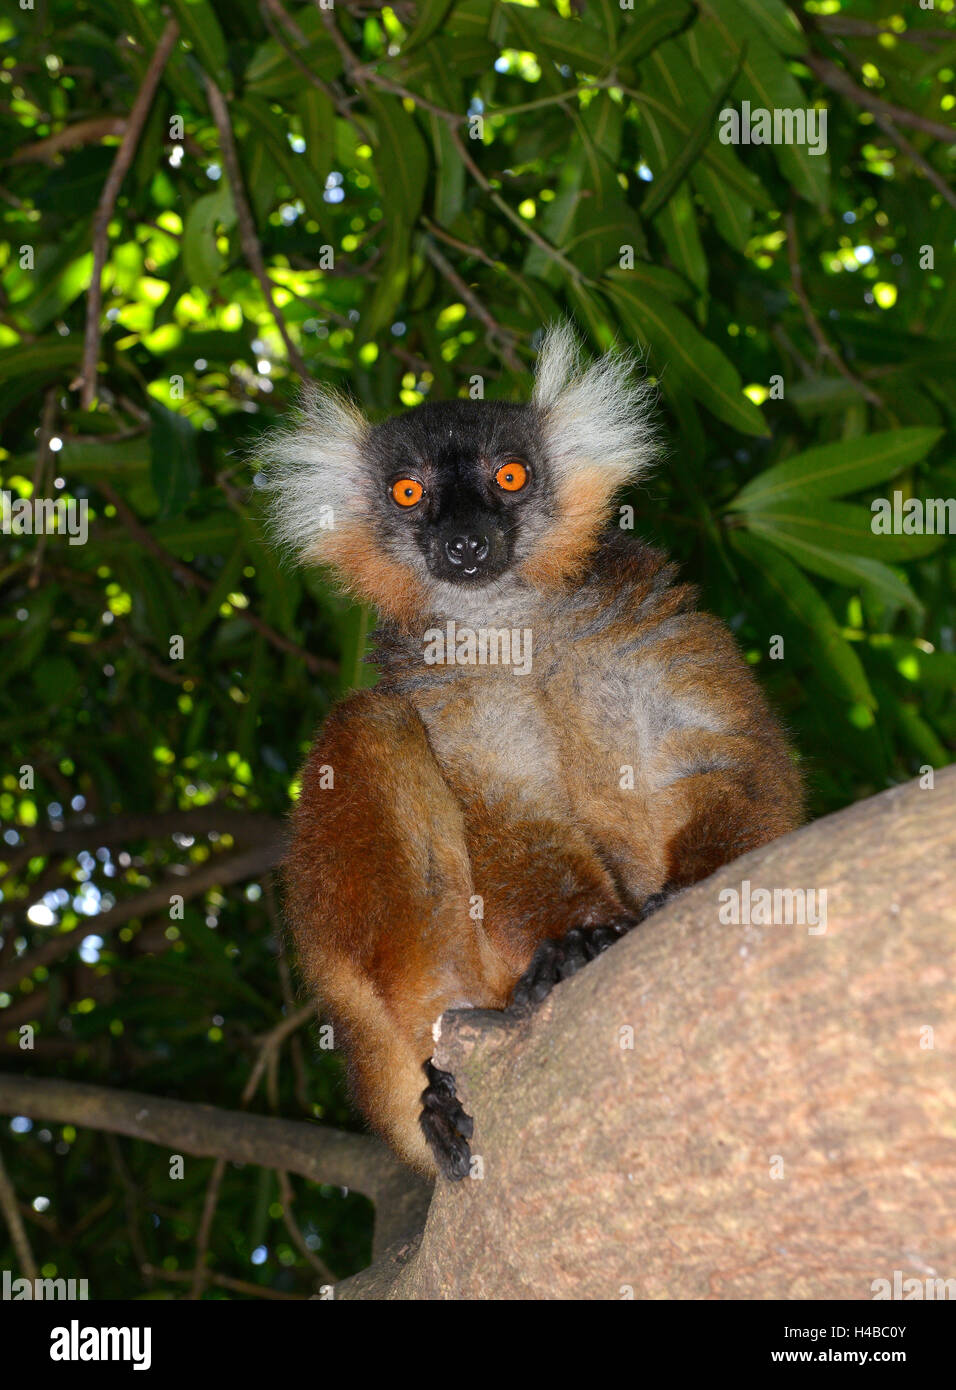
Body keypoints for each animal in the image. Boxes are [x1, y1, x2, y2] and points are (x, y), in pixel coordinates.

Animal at [261, 323, 803, 1182]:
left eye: (508, 477)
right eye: (409, 492)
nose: (464, 542)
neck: (512, 622)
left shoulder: (643, 619)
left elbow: (714, 758)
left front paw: (691, 890)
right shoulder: (445, 684)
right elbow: (505, 811)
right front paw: (576, 940)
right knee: (370, 726)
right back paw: (444, 1081)